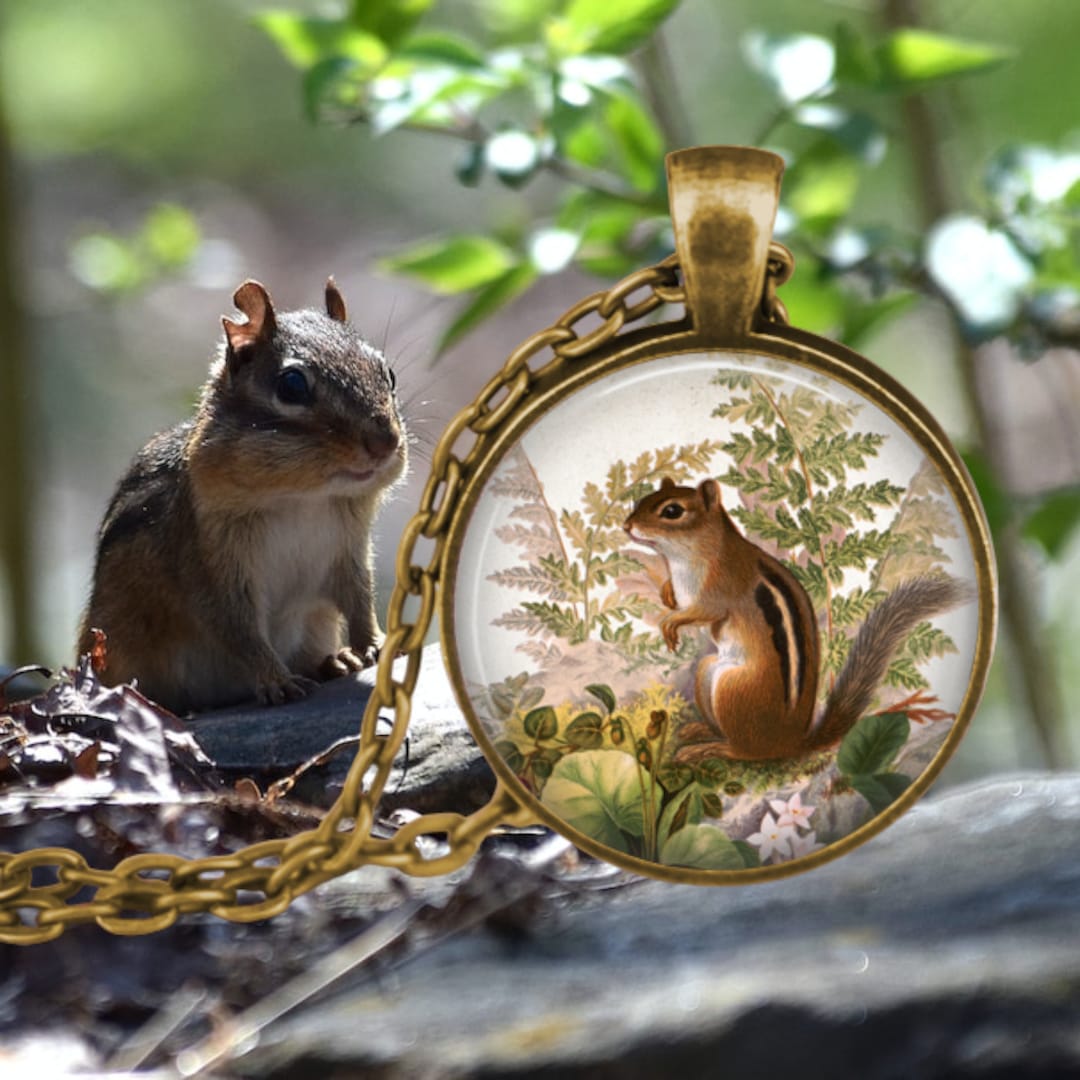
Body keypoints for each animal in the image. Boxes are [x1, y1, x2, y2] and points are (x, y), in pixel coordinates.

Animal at [77, 278, 407, 714]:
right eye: (292, 385)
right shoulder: (211, 567)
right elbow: (238, 630)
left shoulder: (348, 551)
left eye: (389, 373)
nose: (385, 442)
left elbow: (359, 599)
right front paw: (277, 680)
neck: (305, 499)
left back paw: (334, 661)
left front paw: (373, 644)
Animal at [623, 477, 971, 762]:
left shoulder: (721, 588)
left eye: (672, 511)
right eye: (641, 500)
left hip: (734, 689)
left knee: (746, 751)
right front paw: (668, 594)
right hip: (708, 672)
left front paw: (670, 623)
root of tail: (791, 744)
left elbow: (704, 611)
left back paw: (710, 749)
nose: (626, 526)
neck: (686, 555)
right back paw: (698, 731)